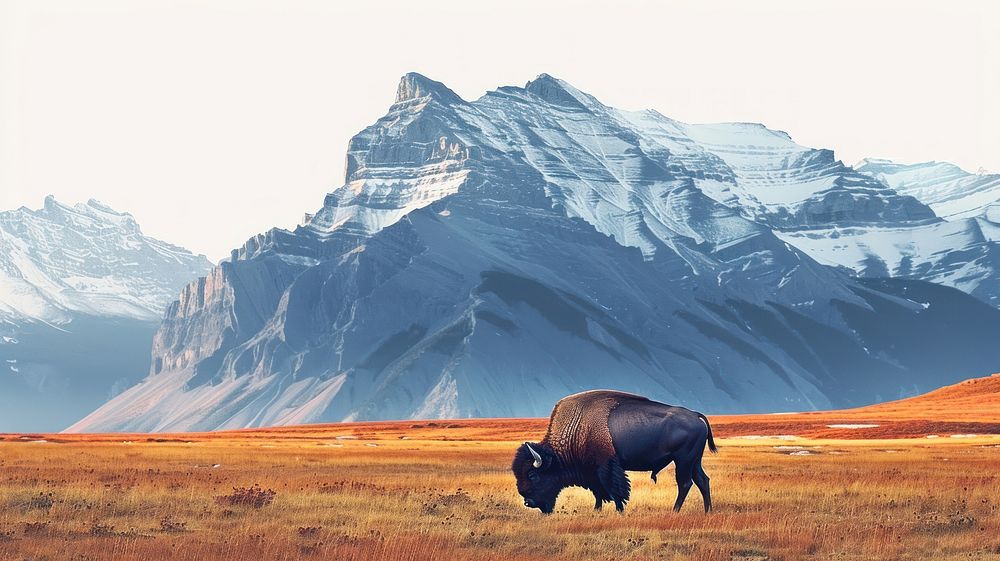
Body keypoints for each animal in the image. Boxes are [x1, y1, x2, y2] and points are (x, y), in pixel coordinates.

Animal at [512, 390, 716, 514]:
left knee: (685, 483)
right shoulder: (592, 473)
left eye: (533, 475)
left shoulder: (606, 467)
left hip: (683, 460)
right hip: (694, 461)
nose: (528, 502)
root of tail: (695, 415)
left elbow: (615, 490)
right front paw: (597, 510)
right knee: (702, 480)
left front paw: (619, 510)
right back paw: (708, 511)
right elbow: (598, 492)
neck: (578, 428)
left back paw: (675, 511)